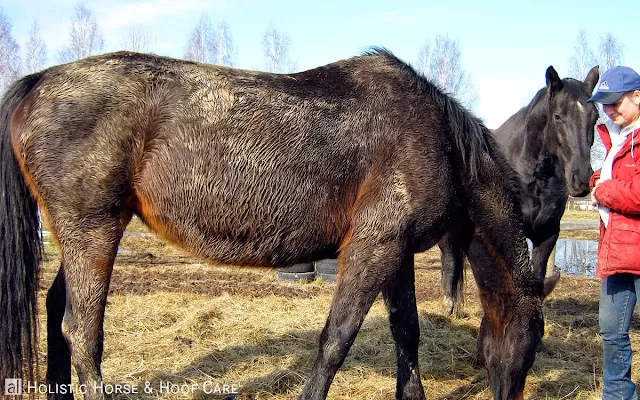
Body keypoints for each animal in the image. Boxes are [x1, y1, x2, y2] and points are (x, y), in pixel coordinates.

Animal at [0, 50, 552, 400]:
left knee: (57, 312)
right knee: (82, 332)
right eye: (530, 347)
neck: (440, 141)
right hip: (93, 230)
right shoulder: (373, 247)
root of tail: (38, 81)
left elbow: (407, 332)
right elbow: (336, 340)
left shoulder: (395, 254)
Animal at [440, 65, 600, 316]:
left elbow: (538, 276)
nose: (582, 179)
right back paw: (450, 304)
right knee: (450, 256)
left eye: (595, 116)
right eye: (558, 115)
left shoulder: (547, 233)